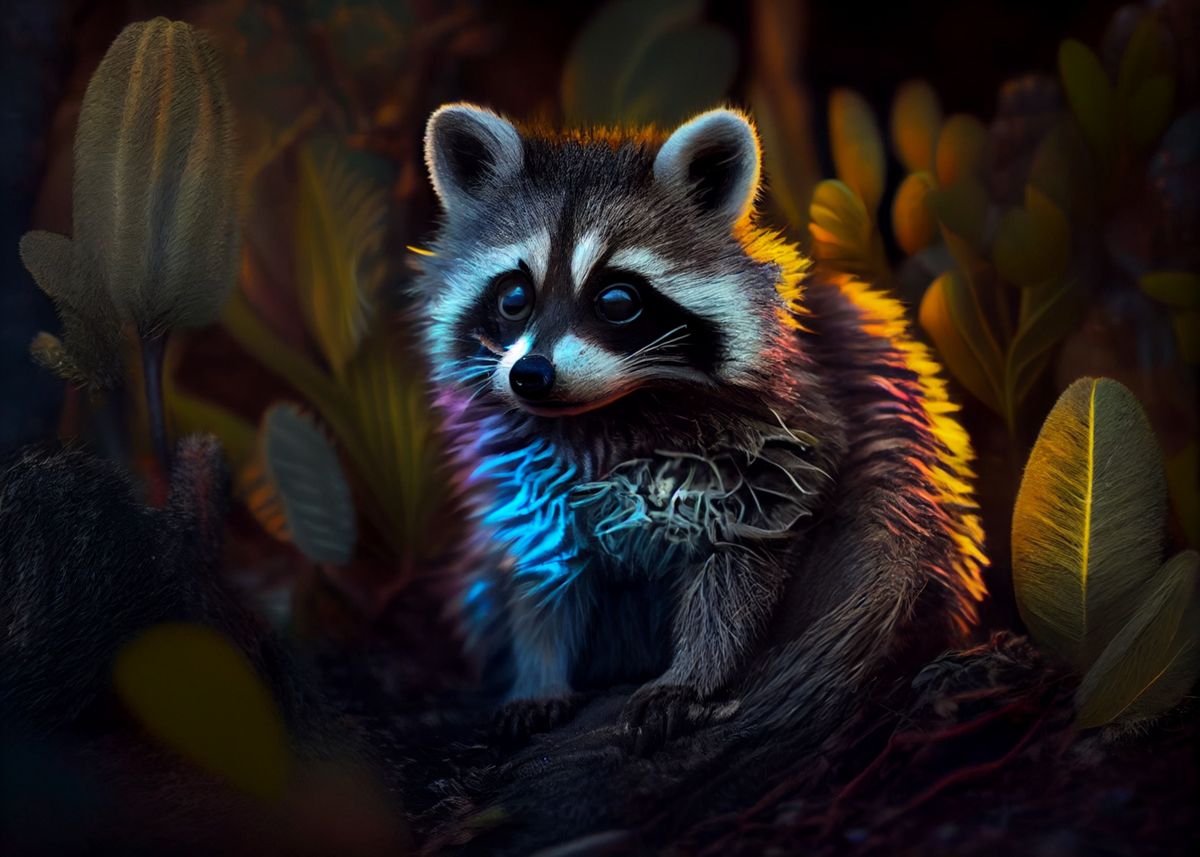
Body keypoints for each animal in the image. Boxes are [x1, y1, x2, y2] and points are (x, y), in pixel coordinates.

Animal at [419, 104, 987, 742]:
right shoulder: (527, 475)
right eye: (513, 297)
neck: (609, 410)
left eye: (617, 301)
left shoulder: (783, 434)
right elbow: (539, 569)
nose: (531, 375)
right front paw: (538, 675)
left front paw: (694, 674)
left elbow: (738, 561)